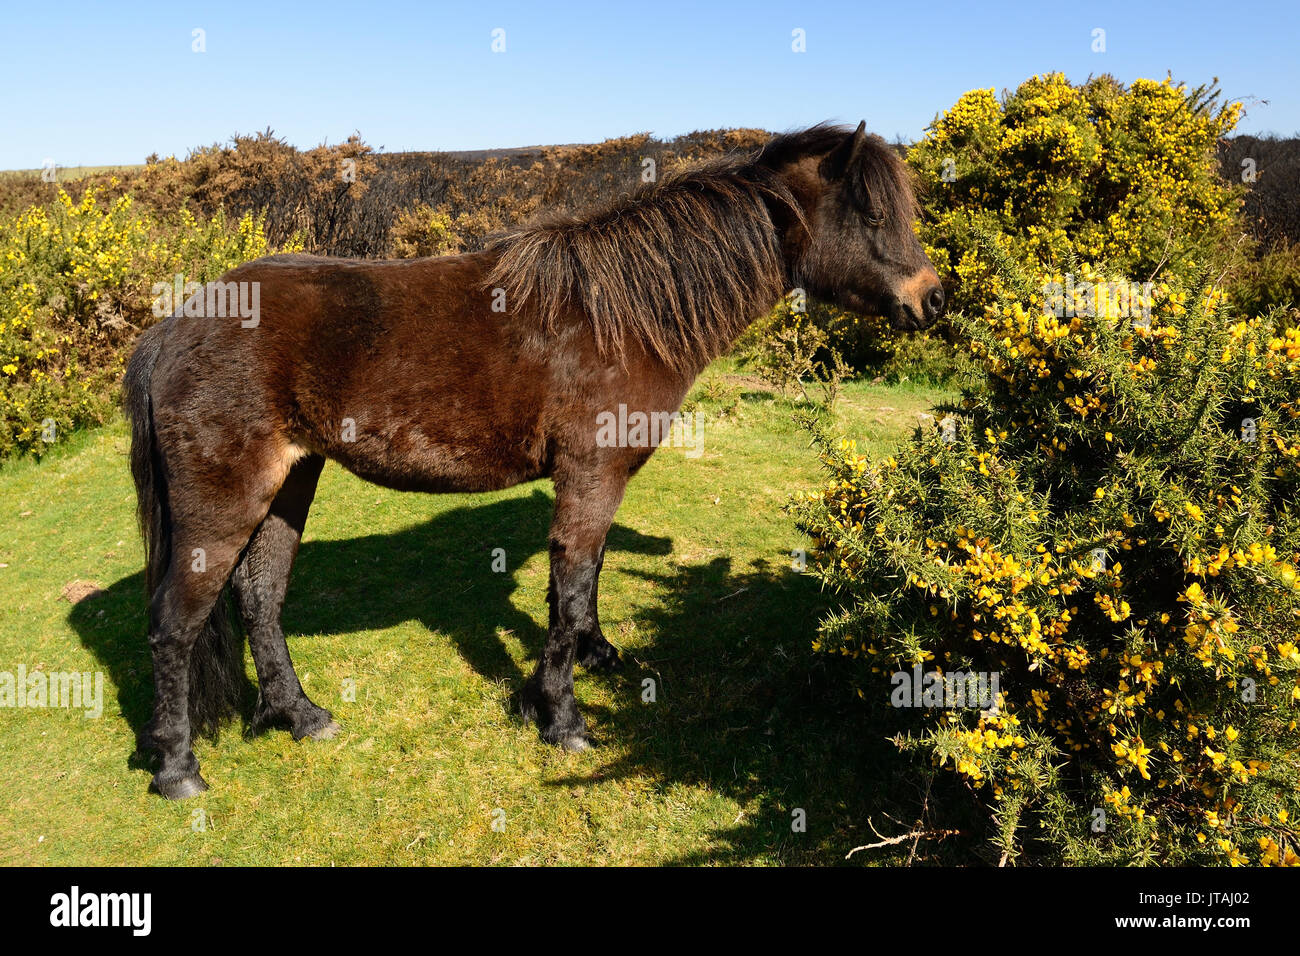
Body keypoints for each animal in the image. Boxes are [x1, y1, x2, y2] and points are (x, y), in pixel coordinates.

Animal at [123, 121, 944, 799]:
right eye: (872, 216)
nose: (934, 300)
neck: (623, 316)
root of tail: (172, 328)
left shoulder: (595, 482)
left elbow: (583, 580)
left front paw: (588, 661)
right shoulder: (590, 475)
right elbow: (572, 587)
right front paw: (562, 718)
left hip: (291, 481)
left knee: (260, 598)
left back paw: (299, 714)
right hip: (221, 505)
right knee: (174, 624)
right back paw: (178, 770)